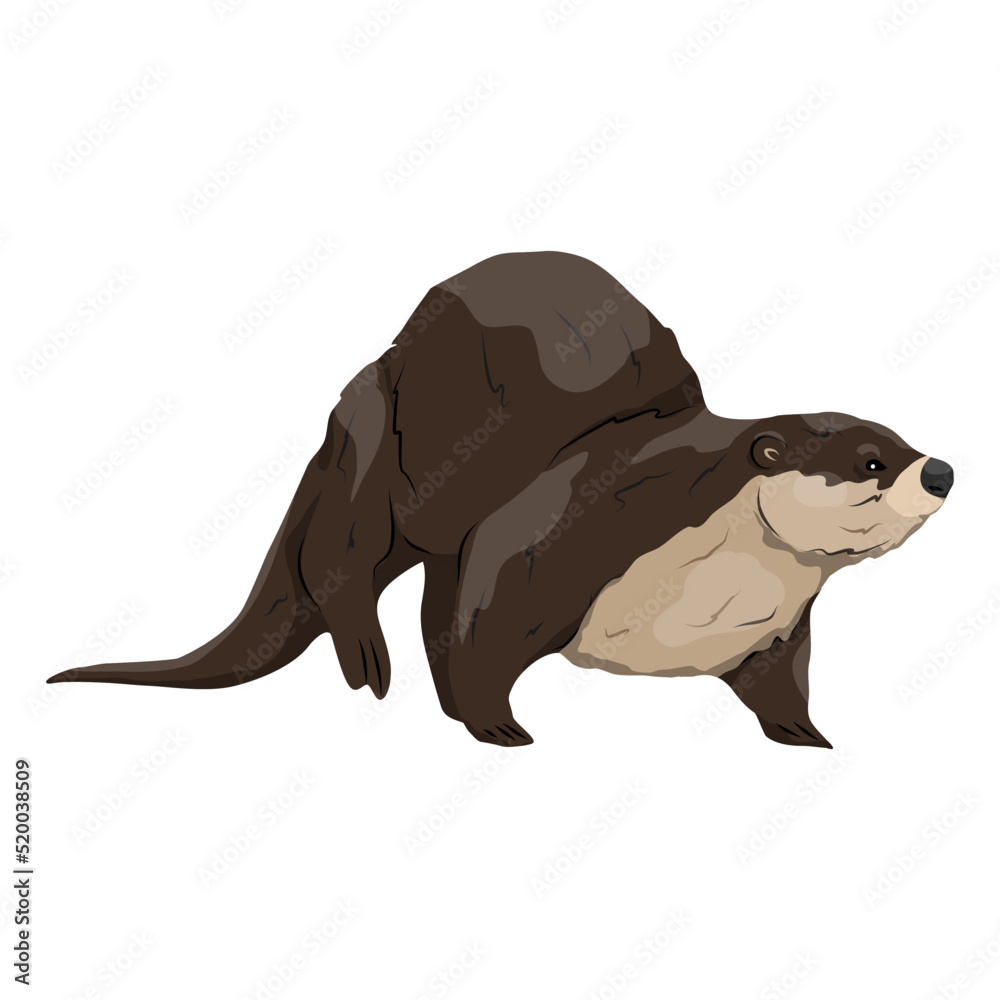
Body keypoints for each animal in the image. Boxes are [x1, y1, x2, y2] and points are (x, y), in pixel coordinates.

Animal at [47, 251, 953, 749]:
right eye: (871, 460)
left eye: (903, 440)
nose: (940, 471)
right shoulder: (573, 519)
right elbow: (484, 627)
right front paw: (497, 729)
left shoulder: (777, 624)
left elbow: (782, 681)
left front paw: (809, 736)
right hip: (374, 428)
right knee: (345, 552)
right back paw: (366, 662)